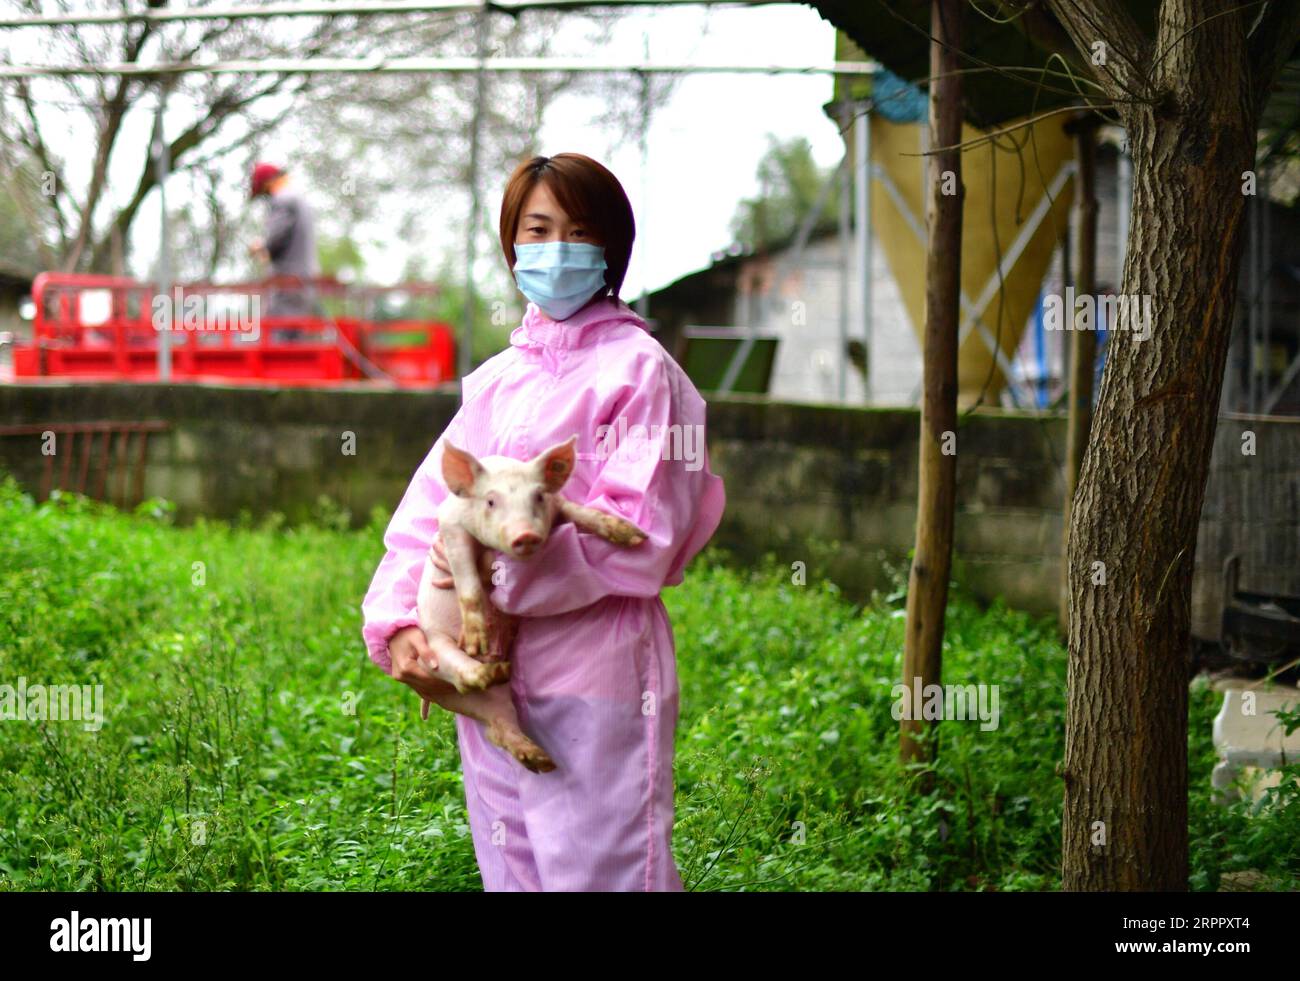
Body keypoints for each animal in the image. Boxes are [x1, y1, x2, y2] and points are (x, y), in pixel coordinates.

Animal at [414, 434, 648, 773]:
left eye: (537, 497)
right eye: (491, 501)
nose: (524, 534)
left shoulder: (557, 505)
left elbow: (582, 512)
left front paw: (635, 536)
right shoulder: (451, 525)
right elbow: (467, 580)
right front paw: (475, 641)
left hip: (495, 705)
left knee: (499, 728)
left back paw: (541, 760)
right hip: (432, 651)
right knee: (462, 675)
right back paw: (487, 664)